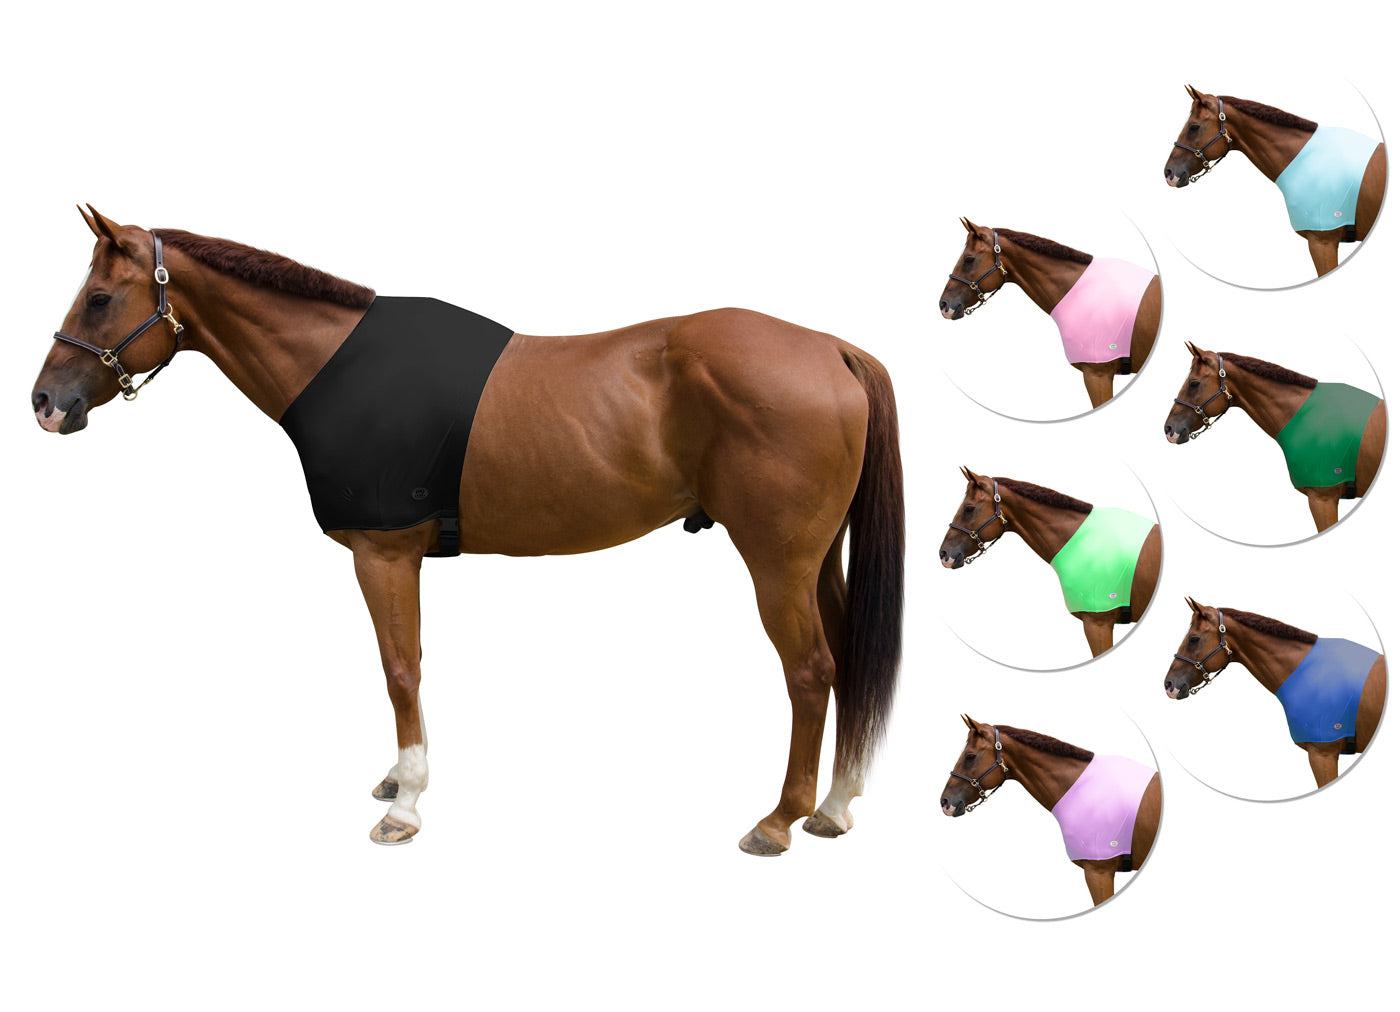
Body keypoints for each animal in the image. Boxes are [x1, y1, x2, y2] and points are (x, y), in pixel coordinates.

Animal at [30, 206, 905, 855]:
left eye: (99, 298)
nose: (45, 403)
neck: (340, 367)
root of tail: (833, 349)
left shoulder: (385, 554)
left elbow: (401, 669)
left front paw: (406, 804)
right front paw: (397, 780)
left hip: (776, 563)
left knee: (810, 672)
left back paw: (779, 820)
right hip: (818, 562)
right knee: (847, 659)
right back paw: (834, 806)